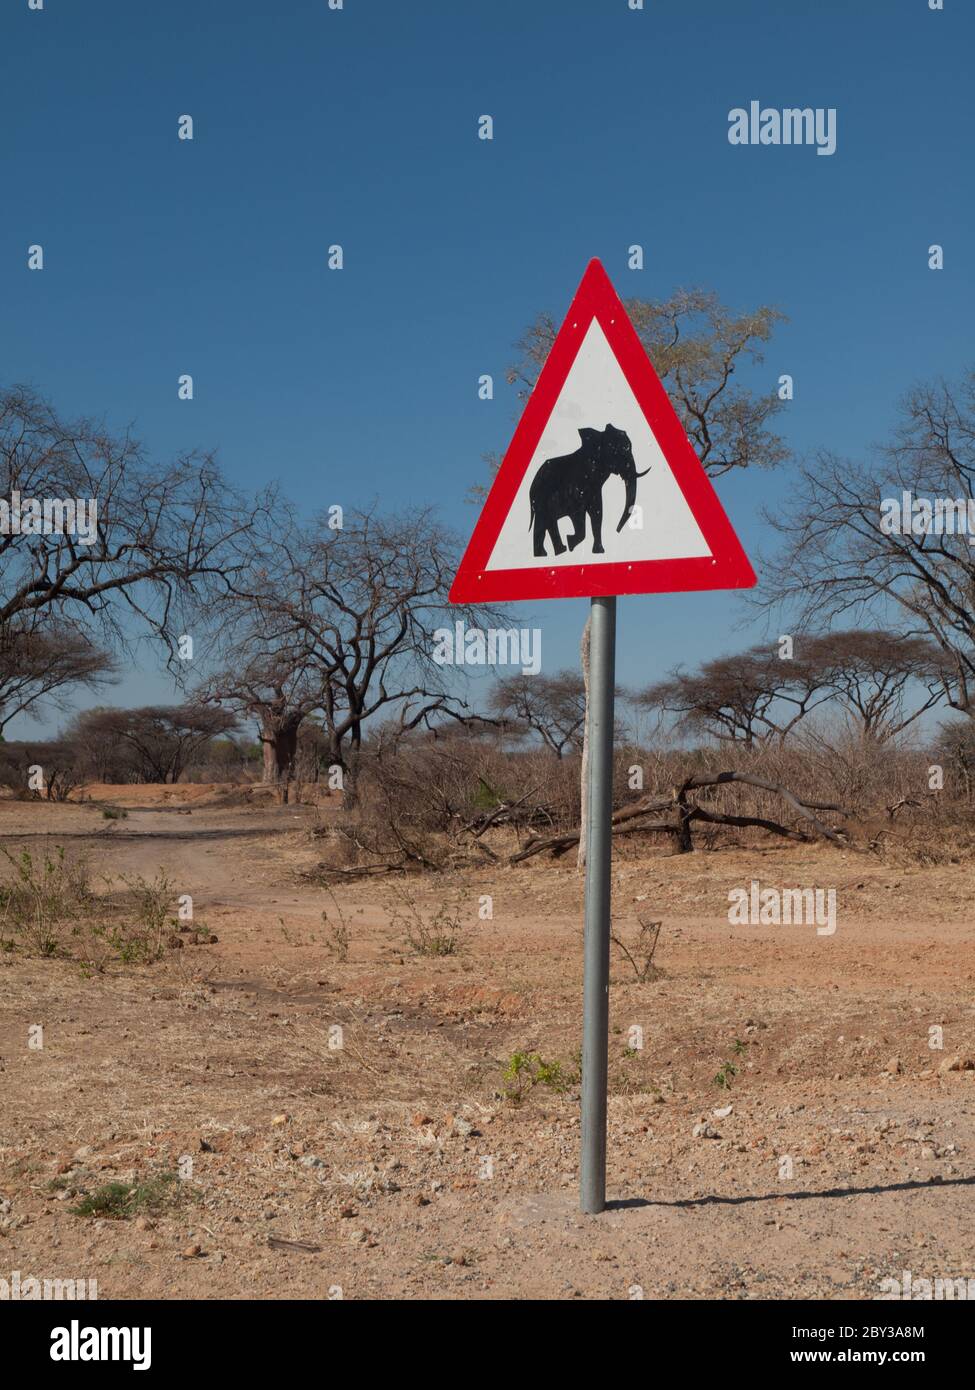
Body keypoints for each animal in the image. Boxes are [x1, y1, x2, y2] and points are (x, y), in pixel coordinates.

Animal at [528, 423, 650, 558]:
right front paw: (571, 542)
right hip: (541, 498)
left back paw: (550, 553)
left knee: (545, 523)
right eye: (623, 450)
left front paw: (599, 552)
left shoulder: (595, 488)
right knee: (545, 522)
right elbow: (579, 514)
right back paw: (554, 552)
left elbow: (597, 513)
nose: (617, 530)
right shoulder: (576, 487)